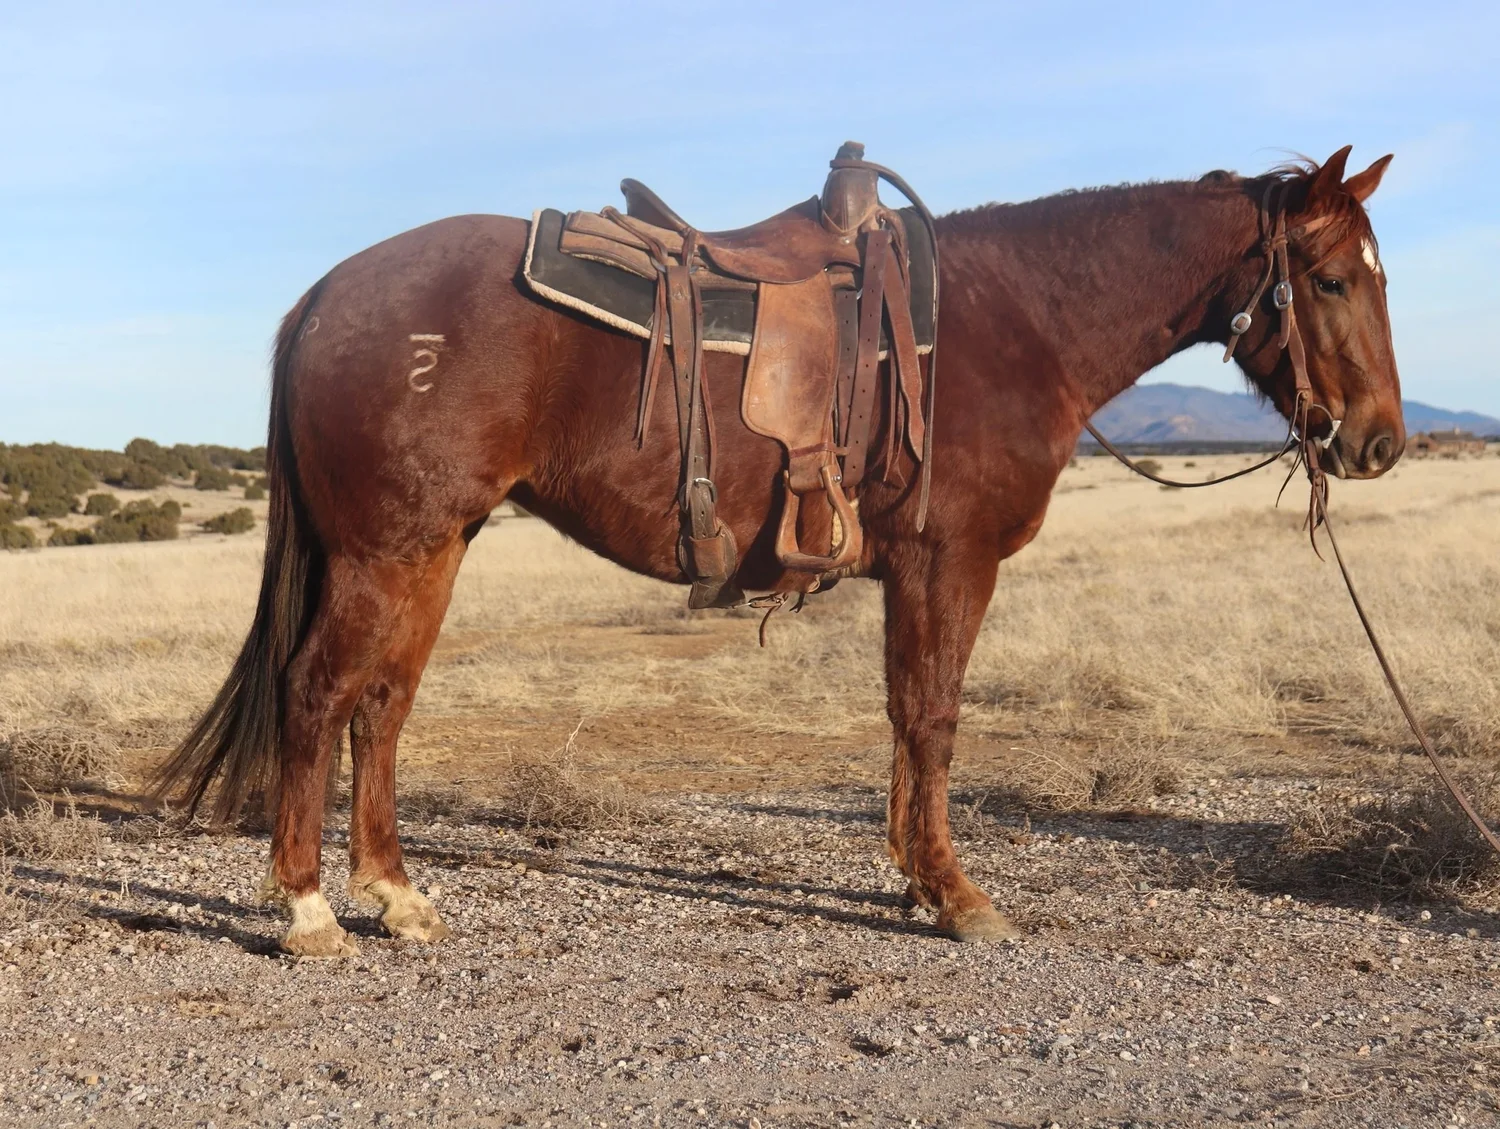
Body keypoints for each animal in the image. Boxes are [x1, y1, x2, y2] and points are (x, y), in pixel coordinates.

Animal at [156, 145, 1401, 957]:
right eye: (1332, 278)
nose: (1379, 440)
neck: (1019, 321)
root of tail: (326, 295)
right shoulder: (951, 562)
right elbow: (934, 715)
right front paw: (955, 894)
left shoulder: (917, 572)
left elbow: (906, 715)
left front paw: (912, 879)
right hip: (386, 550)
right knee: (318, 692)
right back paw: (311, 910)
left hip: (432, 549)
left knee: (383, 703)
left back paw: (396, 895)